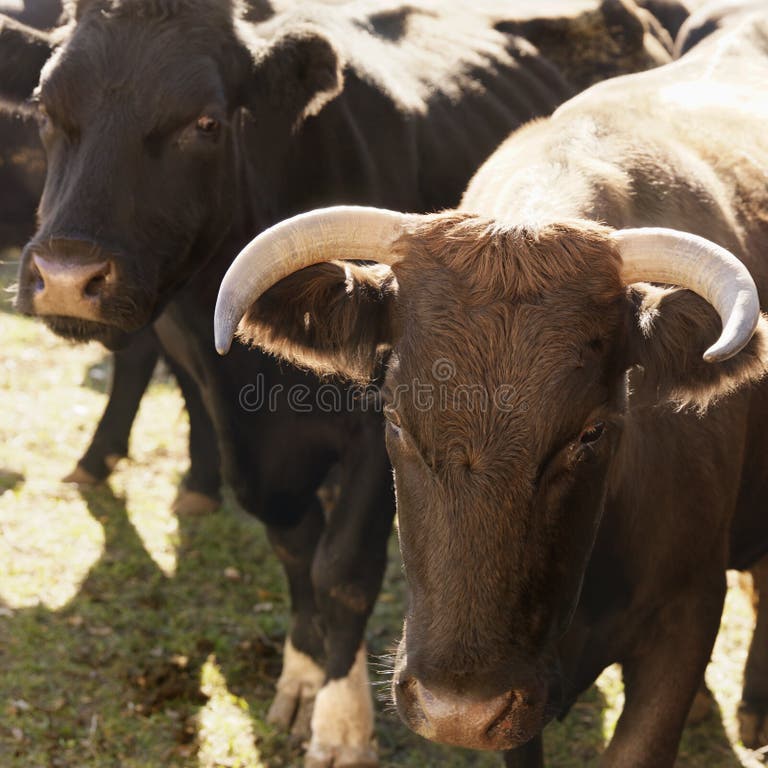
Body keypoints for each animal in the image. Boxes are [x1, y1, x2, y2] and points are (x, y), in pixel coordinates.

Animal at [1, 0, 673, 764]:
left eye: (205, 121)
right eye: (45, 108)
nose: (66, 277)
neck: (260, 379)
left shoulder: (381, 428)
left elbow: (343, 569)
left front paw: (341, 721)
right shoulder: (239, 430)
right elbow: (294, 545)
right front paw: (301, 672)